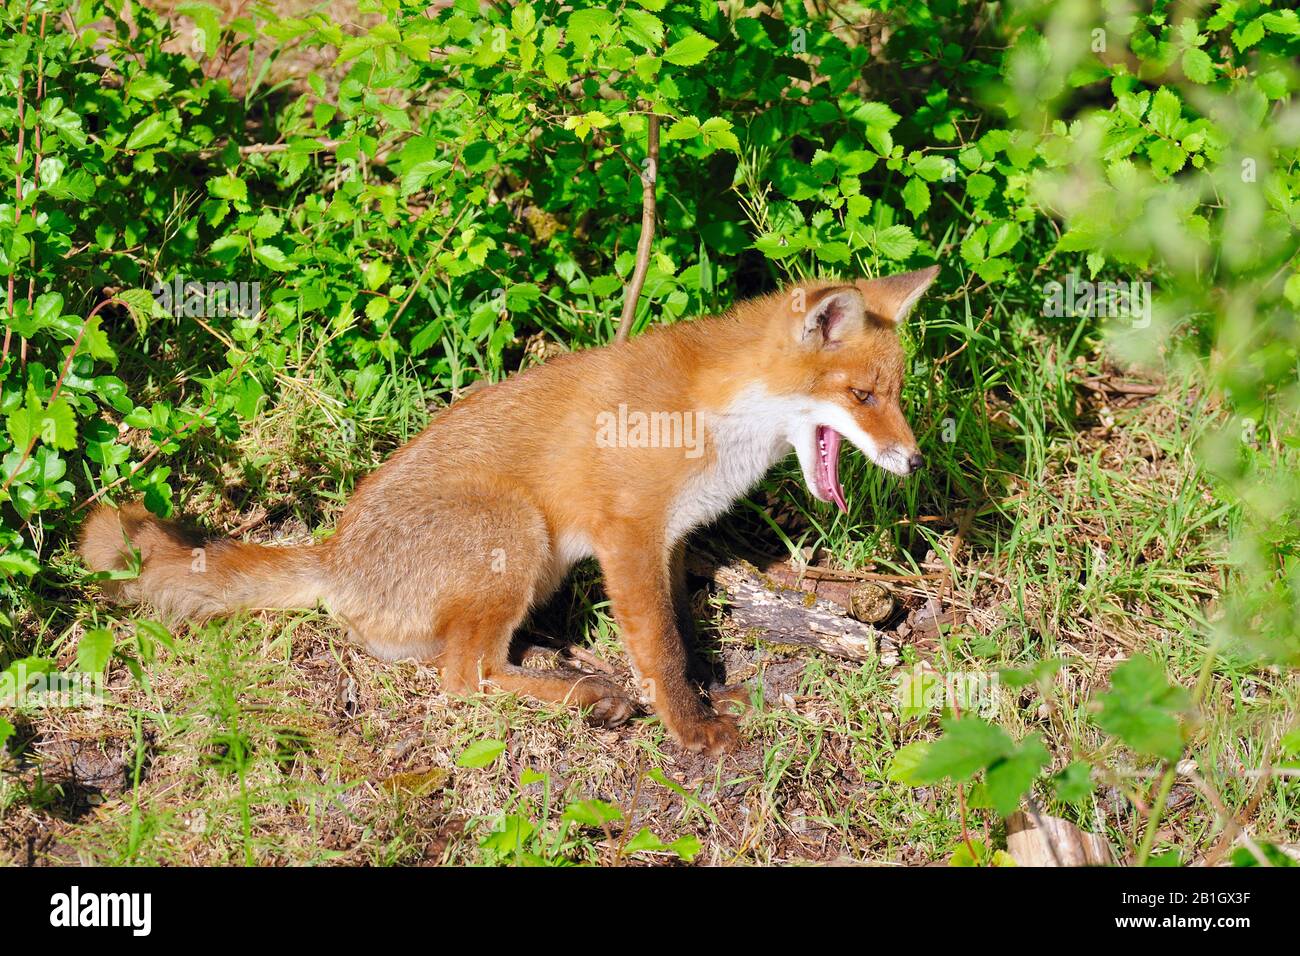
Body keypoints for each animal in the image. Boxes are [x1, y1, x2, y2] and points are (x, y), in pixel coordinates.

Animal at [80, 265, 939, 756]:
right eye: (864, 396)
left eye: (896, 394)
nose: (913, 460)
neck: (716, 410)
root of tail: (333, 555)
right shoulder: (627, 533)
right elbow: (659, 648)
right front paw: (691, 728)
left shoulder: (664, 541)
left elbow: (680, 635)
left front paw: (705, 689)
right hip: (516, 532)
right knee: (466, 678)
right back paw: (588, 697)